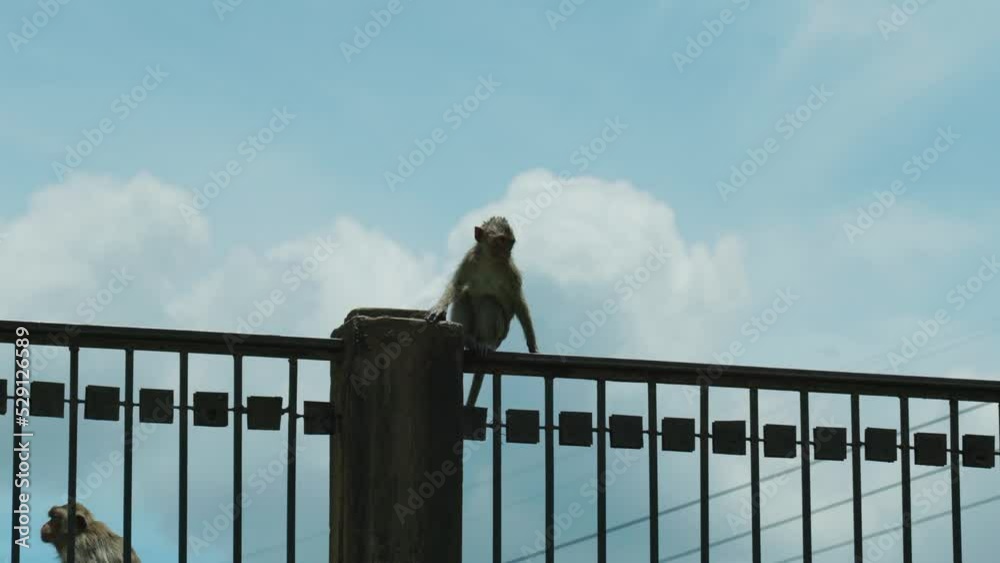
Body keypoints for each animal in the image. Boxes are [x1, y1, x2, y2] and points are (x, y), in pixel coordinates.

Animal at [427, 216, 538, 406]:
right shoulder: (469, 258)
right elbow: (457, 285)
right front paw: (439, 308)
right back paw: (468, 340)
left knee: (488, 302)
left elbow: (518, 302)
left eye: (510, 242)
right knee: (463, 297)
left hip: (500, 332)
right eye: (500, 240)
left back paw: (487, 344)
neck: (489, 260)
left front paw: (533, 347)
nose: (507, 253)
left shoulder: (509, 270)